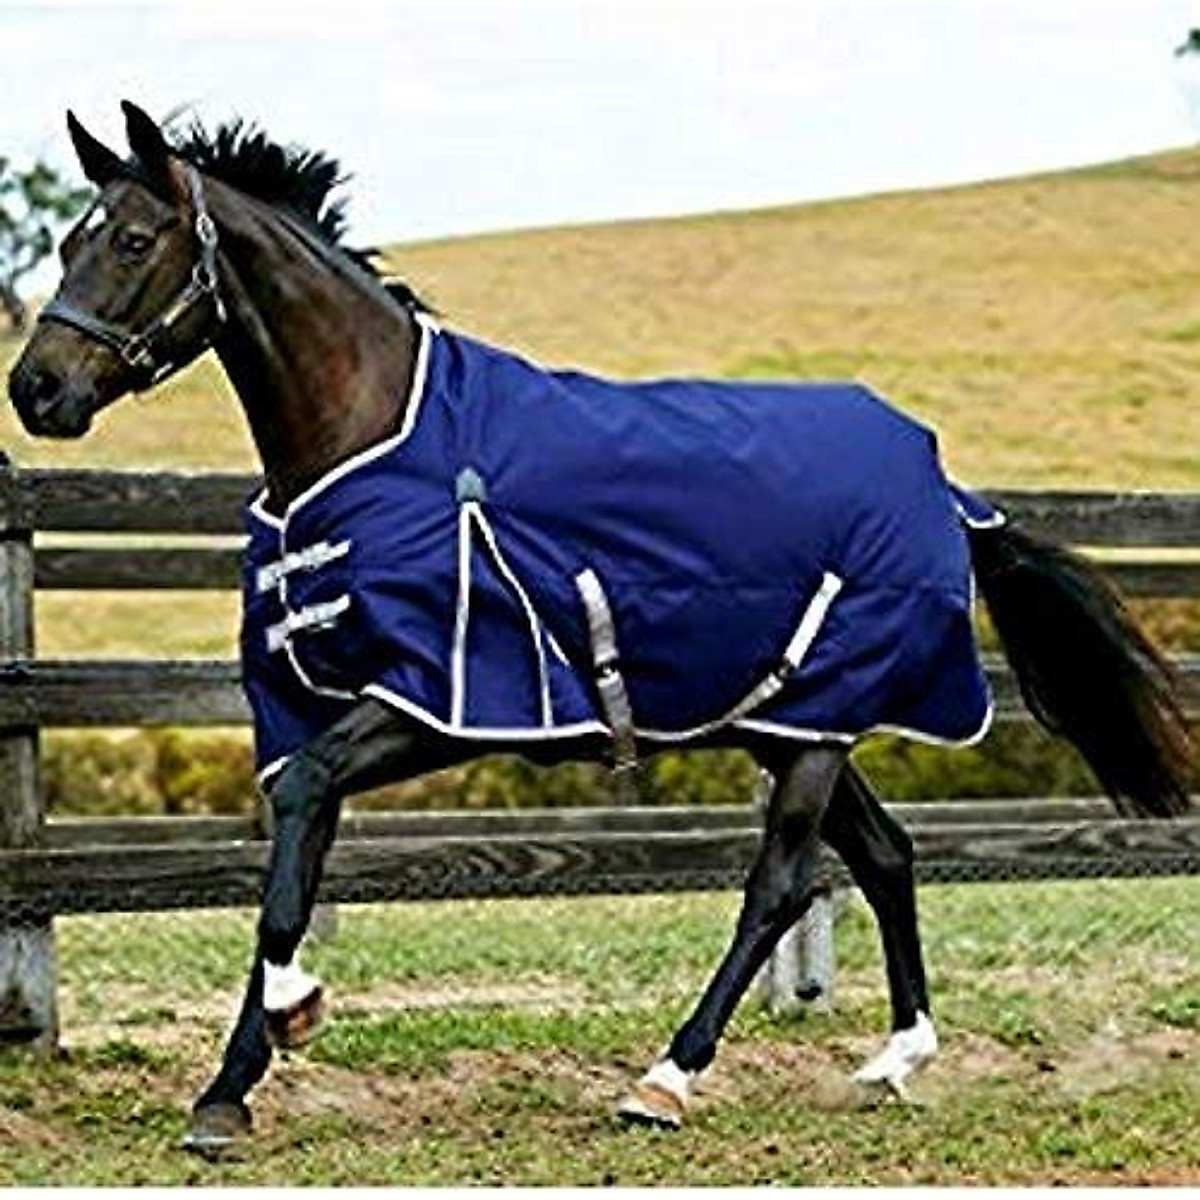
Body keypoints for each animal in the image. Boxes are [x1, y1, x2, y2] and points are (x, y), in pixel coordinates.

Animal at [8, 103, 1191, 1156]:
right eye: (65, 238)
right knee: (889, 856)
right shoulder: (322, 707)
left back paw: (666, 1079)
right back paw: (896, 1059)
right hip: (788, 724)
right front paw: (228, 1090)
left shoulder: (437, 701)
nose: (38, 390)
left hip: (812, 736)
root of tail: (943, 487)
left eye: (131, 239)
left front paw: (293, 1016)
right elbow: (294, 857)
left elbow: (297, 823)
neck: (380, 437)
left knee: (780, 886)